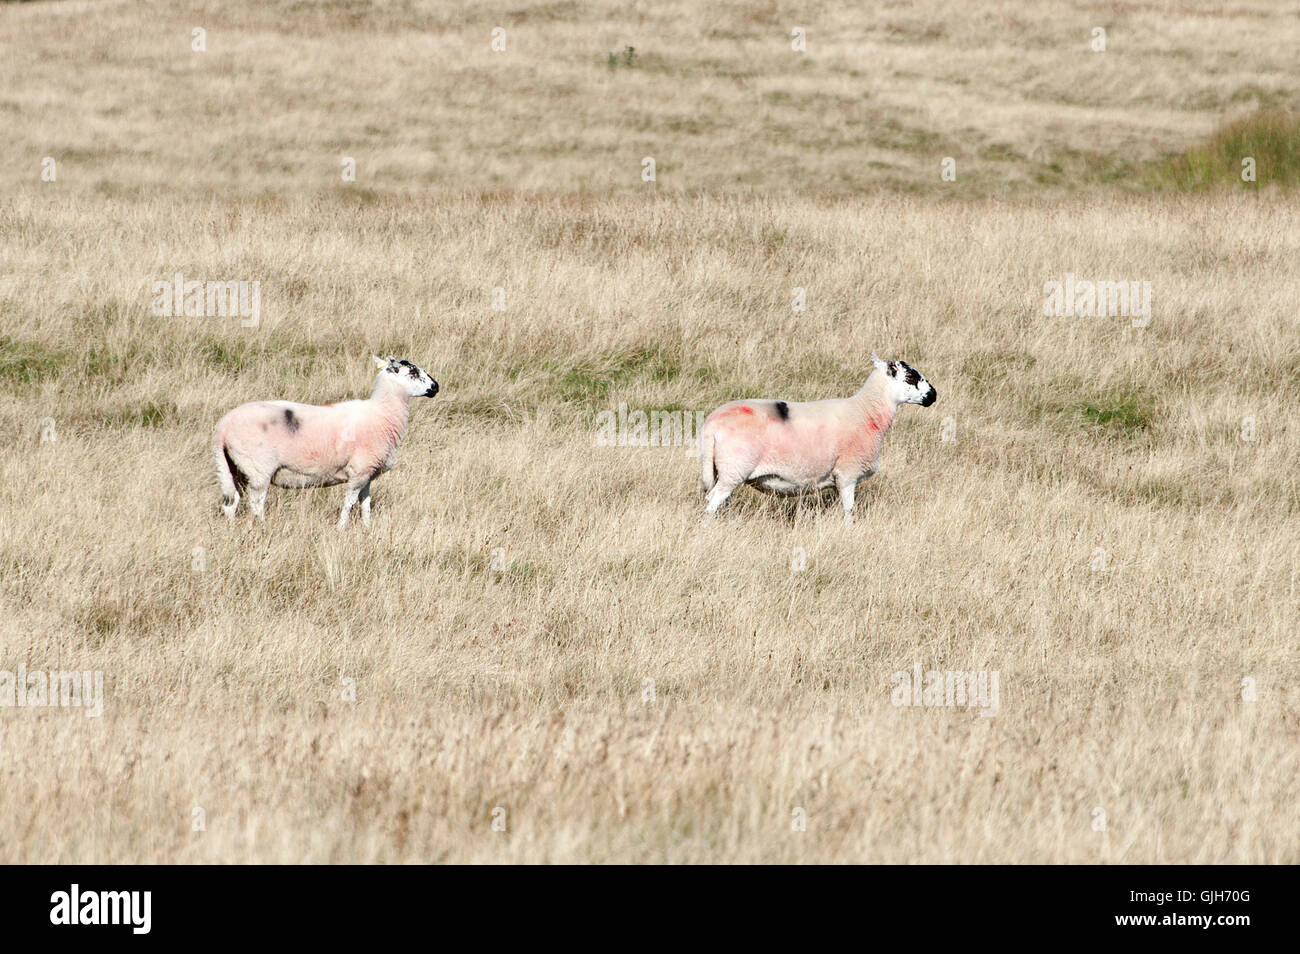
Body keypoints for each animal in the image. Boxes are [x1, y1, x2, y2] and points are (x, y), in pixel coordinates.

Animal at [212, 355, 439, 529]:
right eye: (413, 372)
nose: (436, 386)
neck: (382, 413)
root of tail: (222, 428)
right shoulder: (359, 472)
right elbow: (349, 503)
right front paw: (341, 528)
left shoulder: (368, 474)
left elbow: (366, 503)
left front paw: (367, 528)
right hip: (259, 470)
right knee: (256, 505)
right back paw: (263, 527)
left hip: (235, 469)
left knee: (231, 504)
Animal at [698, 354, 936, 521]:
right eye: (910, 377)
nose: (933, 395)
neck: (866, 411)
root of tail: (711, 424)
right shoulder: (847, 474)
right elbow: (849, 511)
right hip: (735, 469)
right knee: (712, 502)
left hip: (725, 471)